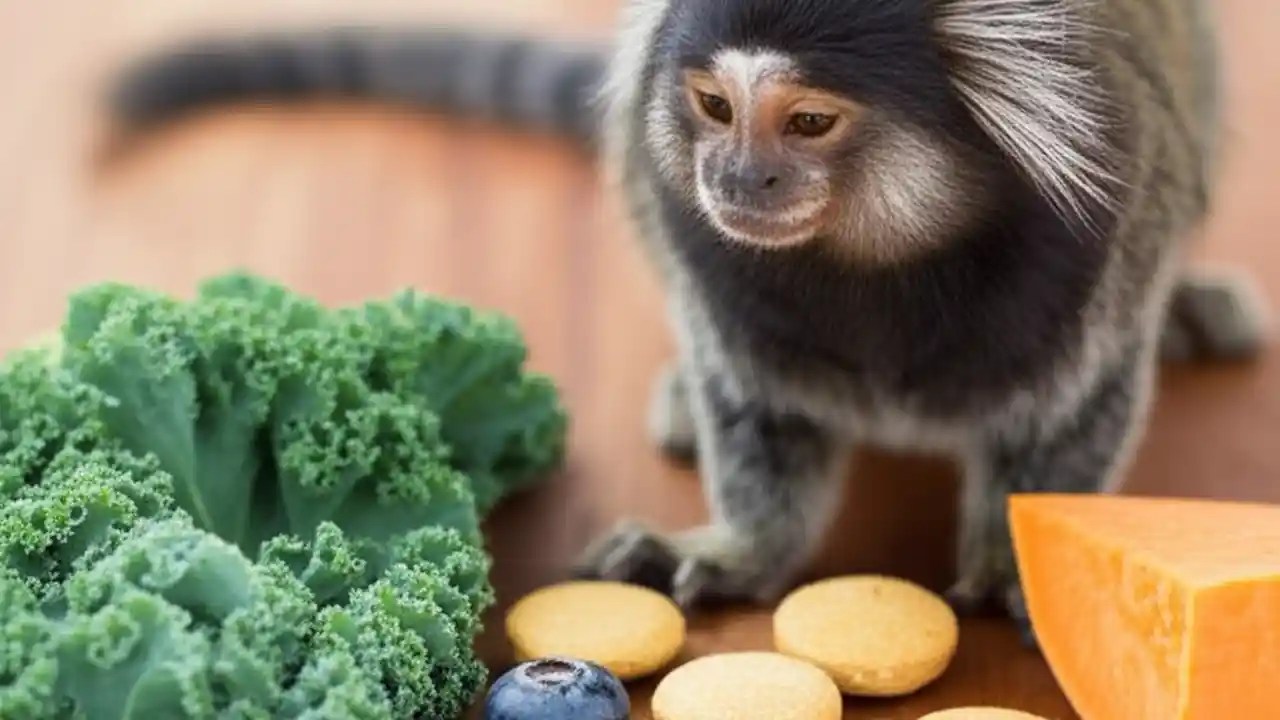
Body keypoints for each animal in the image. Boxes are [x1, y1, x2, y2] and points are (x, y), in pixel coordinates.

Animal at [104, 0, 1270, 640]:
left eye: (807, 121)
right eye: (712, 106)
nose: (734, 177)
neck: (879, 258)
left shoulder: (1094, 253)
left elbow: (1074, 414)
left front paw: (1018, 564)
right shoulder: (719, 277)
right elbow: (755, 412)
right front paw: (746, 548)